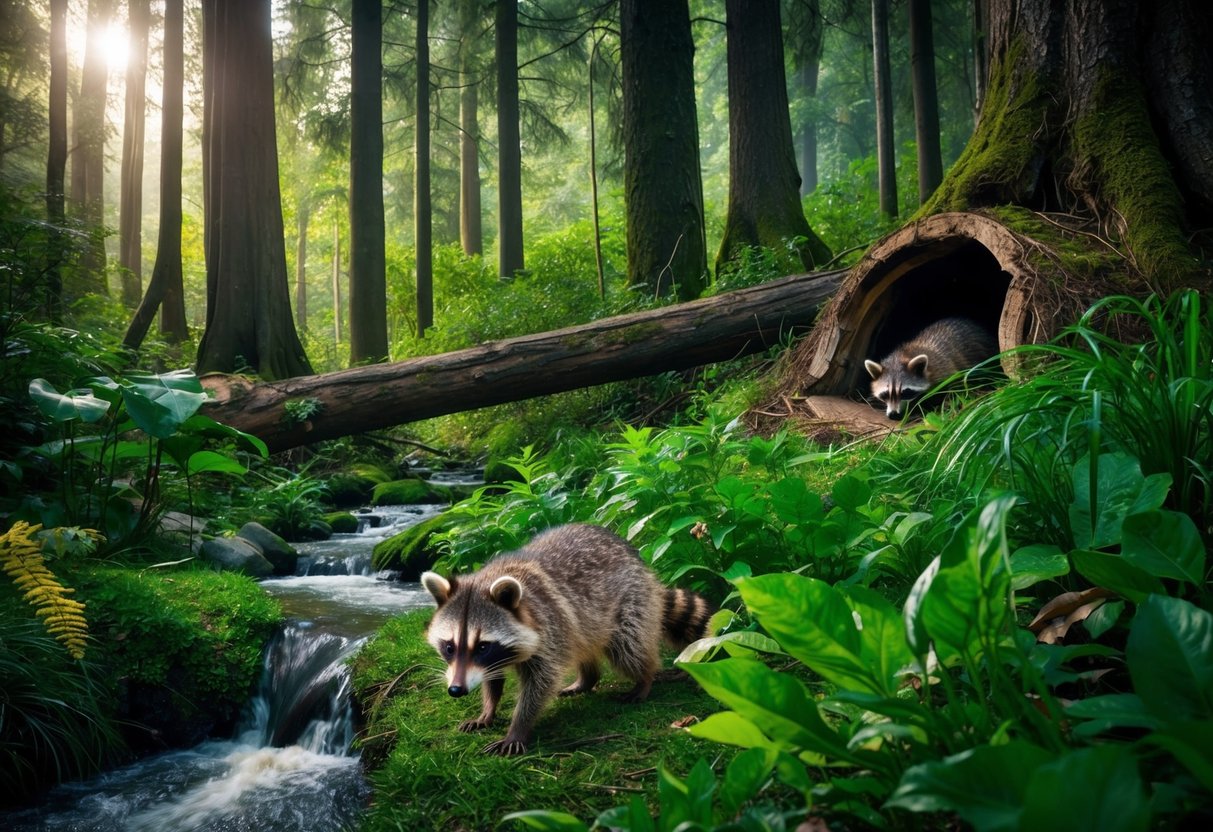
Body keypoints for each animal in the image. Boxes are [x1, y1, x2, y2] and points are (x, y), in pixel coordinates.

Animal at [420, 523, 713, 756]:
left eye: (482, 646)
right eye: (449, 646)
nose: (456, 690)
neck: (489, 578)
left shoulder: (548, 630)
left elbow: (540, 684)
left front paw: (518, 727)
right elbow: (492, 677)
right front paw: (488, 710)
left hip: (631, 601)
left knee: (628, 648)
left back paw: (644, 678)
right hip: (580, 624)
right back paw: (587, 679)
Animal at [864, 317, 997, 419]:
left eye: (905, 392)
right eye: (885, 394)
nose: (893, 414)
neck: (903, 355)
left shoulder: (944, 370)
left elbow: (954, 387)